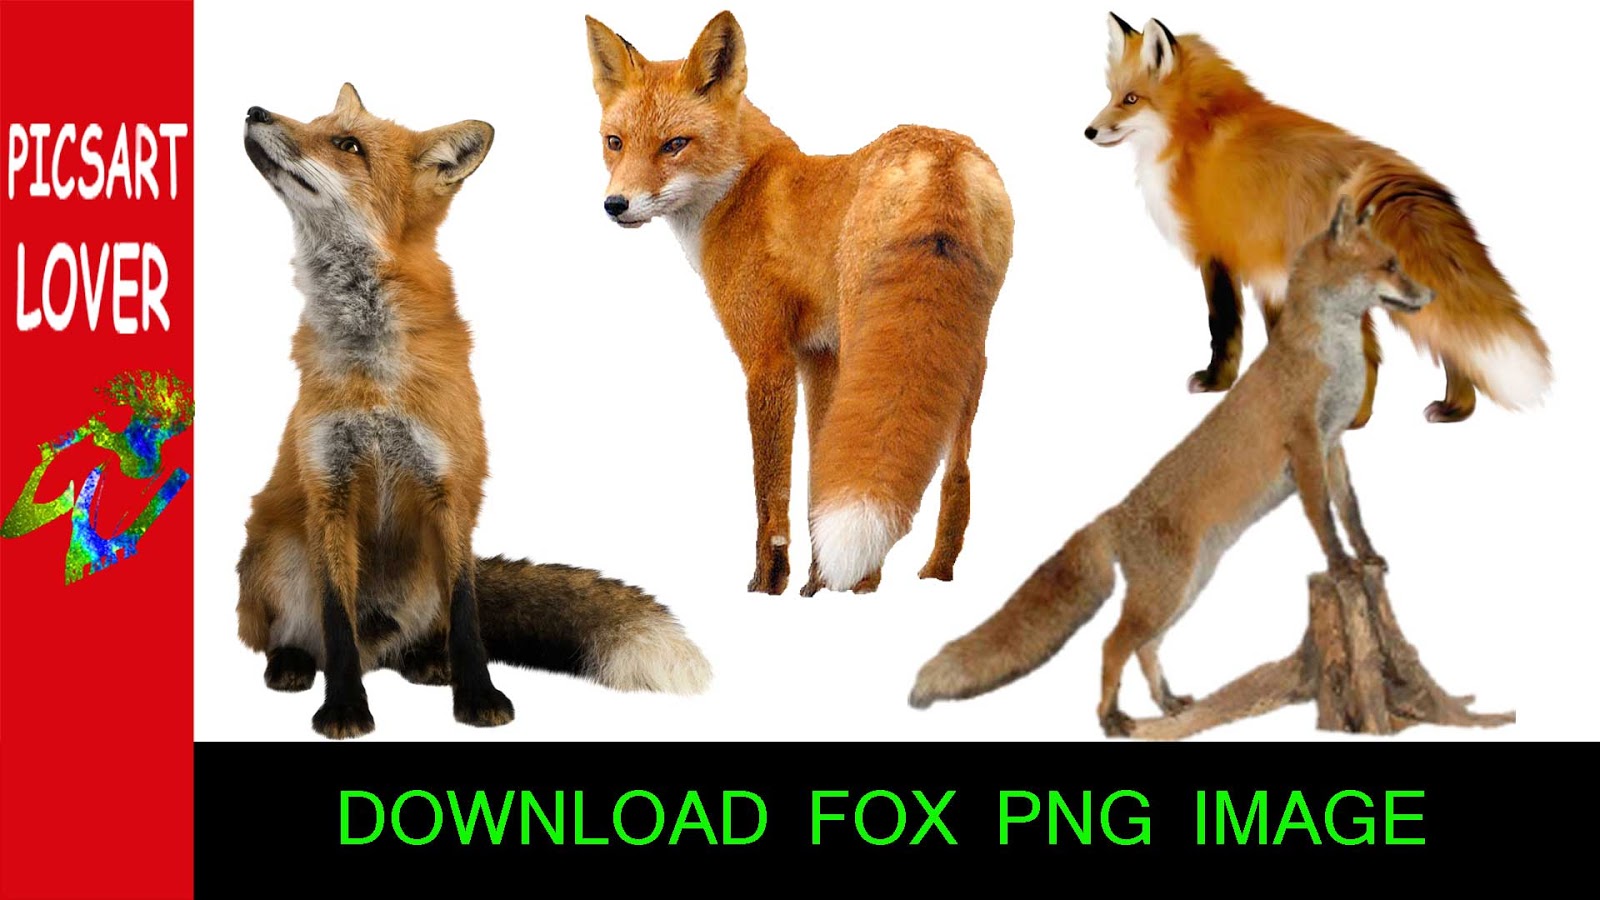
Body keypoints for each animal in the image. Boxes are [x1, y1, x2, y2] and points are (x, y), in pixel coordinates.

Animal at [237, 85, 711, 739]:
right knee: (307, 638)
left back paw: (426, 661)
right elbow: (335, 619)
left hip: (422, 577)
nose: (254, 111)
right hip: (277, 553)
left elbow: (468, 616)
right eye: (316, 121)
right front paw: (346, 709)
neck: (375, 373)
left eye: (346, 143)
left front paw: (478, 697)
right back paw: (292, 663)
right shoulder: (328, 488)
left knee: (419, 634)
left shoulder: (451, 489)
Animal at [584, 11, 1015, 595]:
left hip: (869, 339)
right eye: (615, 142)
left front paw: (771, 583)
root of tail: (940, 154)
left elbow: (772, 487)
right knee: (958, 473)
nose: (615, 204)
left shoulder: (769, 358)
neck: (741, 189)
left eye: (674, 144)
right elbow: (820, 476)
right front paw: (816, 581)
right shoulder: (819, 358)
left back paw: (866, 587)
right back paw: (933, 575)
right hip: (968, 350)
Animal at [910, 197, 1432, 736]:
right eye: (1390, 265)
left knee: (1144, 648)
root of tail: (1114, 515)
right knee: (1113, 644)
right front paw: (1343, 566)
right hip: (1166, 592)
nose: (1429, 294)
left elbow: (1350, 511)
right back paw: (1111, 717)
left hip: (1185, 588)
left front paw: (1368, 557)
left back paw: (1165, 703)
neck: (1331, 358)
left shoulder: (1333, 446)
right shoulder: (1306, 444)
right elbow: (1324, 520)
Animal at [1086, 13, 1550, 427]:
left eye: (1131, 99)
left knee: (1371, 353)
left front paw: (1216, 382)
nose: (1088, 131)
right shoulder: (1268, 269)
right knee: (1446, 344)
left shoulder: (1216, 253)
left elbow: (1223, 327)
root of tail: (1393, 172)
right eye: (1110, 94)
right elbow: (1278, 337)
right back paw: (1455, 409)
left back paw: (1355, 419)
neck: (1196, 128)